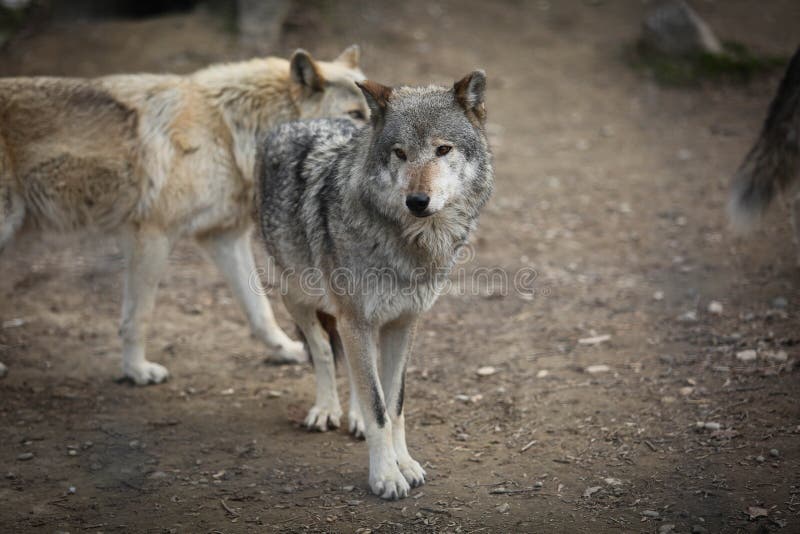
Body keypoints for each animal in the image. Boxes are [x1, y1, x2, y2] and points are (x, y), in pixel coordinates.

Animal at [0, 46, 369, 383]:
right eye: (355, 113)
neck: (226, 128)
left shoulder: (224, 238)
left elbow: (259, 309)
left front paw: (287, 350)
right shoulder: (152, 234)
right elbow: (138, 317)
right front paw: (136, 371)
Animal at [258, 71, 494, 499]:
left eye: (442, 149)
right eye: (399, 153)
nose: (417, 200)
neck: (410, 246)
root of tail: (302, 121)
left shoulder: (403, 323)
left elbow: (392, 403)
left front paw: (405, 464)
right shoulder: (357, 320)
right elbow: (377, 408)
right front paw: (385, 476)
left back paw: (352, 417)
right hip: (295, 295)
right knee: (321, 350)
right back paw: (326, 409)